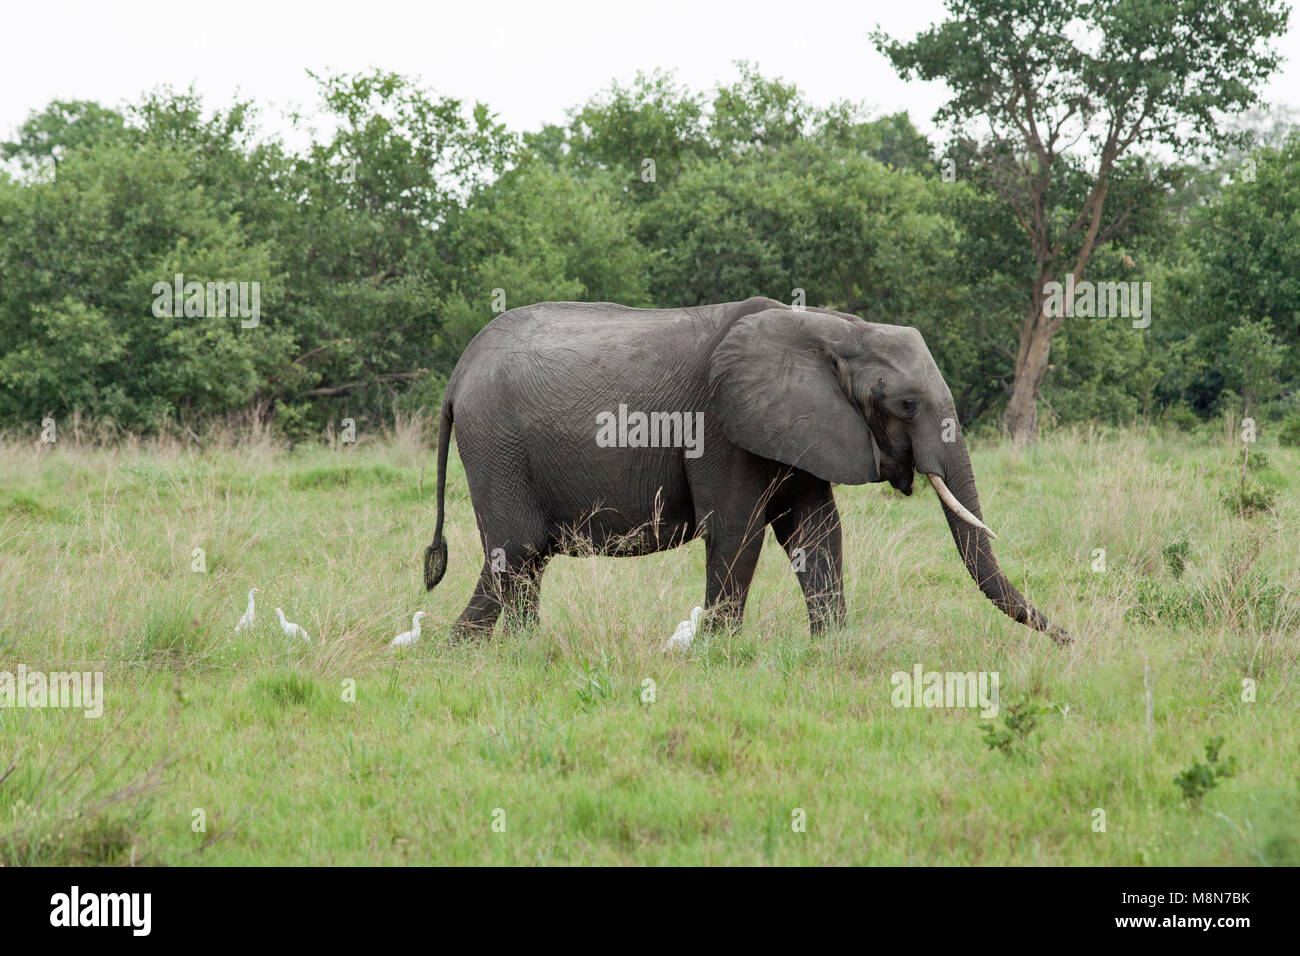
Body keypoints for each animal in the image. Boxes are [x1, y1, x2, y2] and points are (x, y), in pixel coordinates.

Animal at [422, 296, 1069, 645]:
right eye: (907, 405)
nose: (1070, 637)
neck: (832, 329)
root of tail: (457, 374)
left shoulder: (802, 424)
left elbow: (817, 531)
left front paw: (831, 650)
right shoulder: (720, 422)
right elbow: (736, 529)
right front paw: (713, 653)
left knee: (524, 558)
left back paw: (513, 651)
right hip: (497, 441)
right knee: (517, 548)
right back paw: (452, 653)